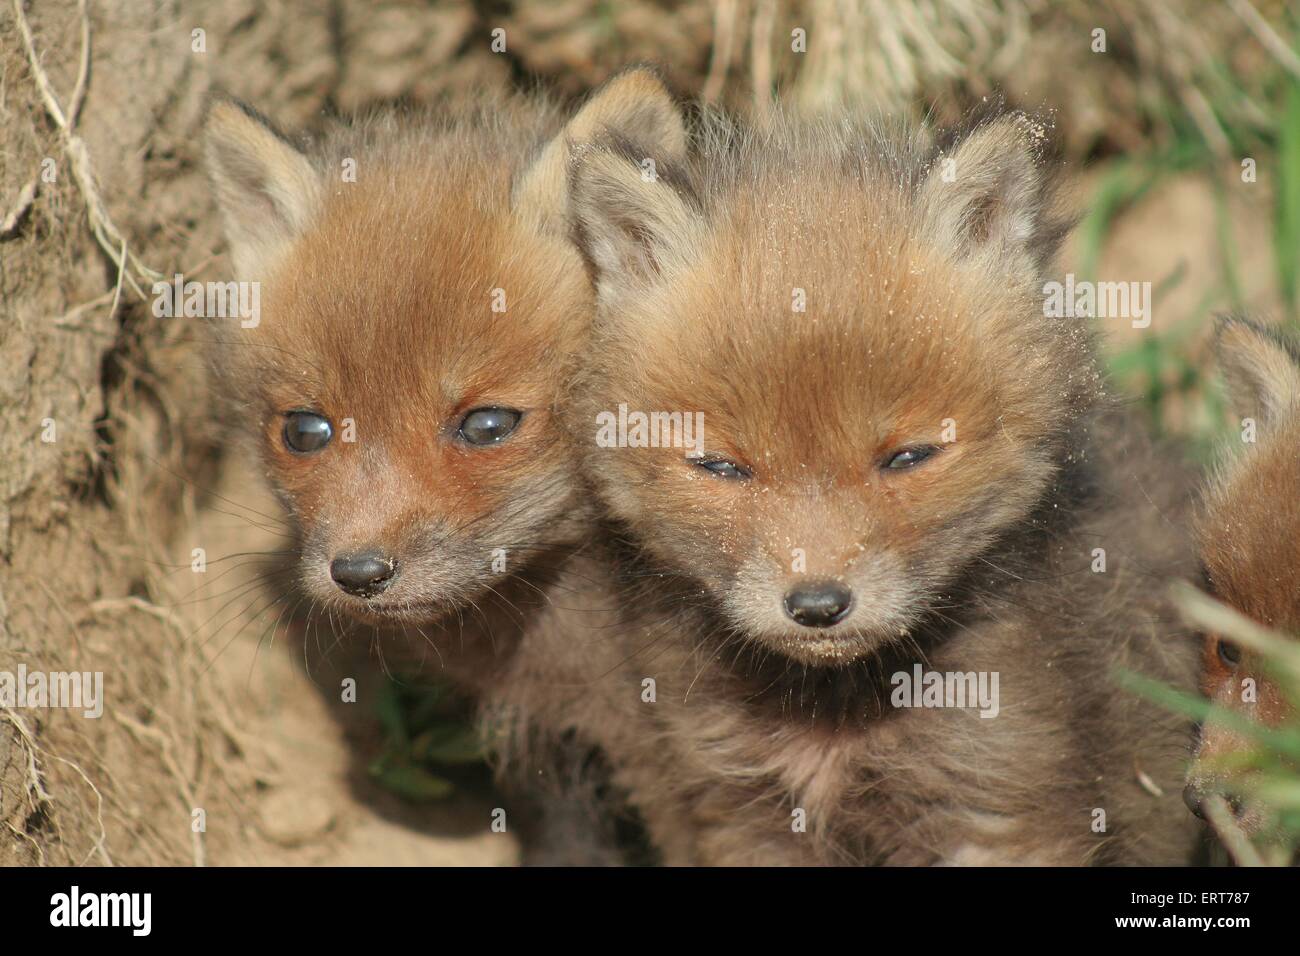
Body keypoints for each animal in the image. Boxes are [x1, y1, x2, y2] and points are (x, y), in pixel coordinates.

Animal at [536, 106, 1205, 865]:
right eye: (722, 467)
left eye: (908, 457)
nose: (818, 606)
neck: (835, 720)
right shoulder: (741, 811)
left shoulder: (1002, 801)